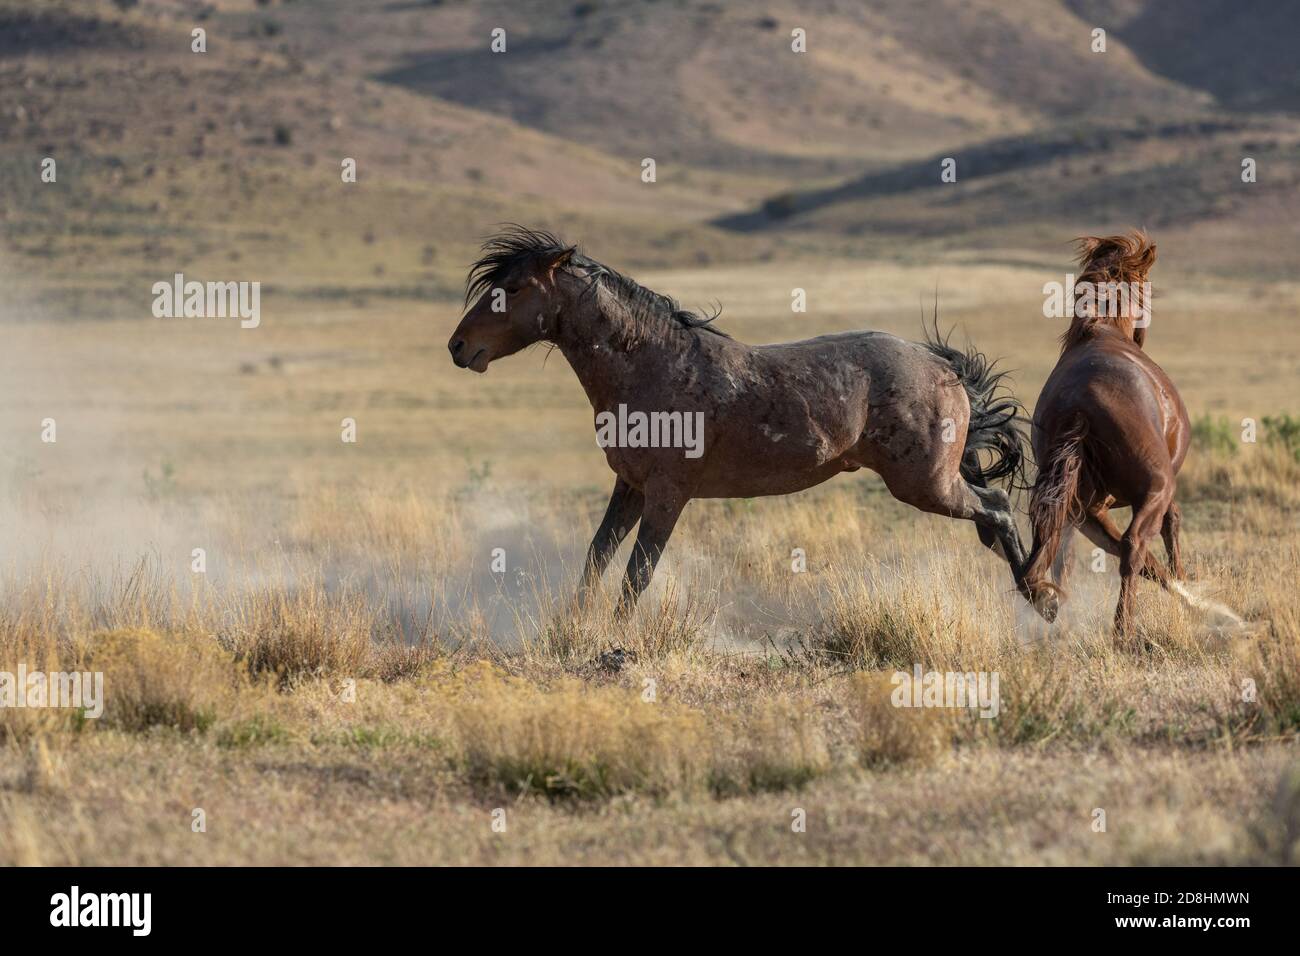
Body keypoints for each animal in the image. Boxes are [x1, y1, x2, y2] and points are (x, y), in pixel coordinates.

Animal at [448, 226, 1035, 616]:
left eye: (515, 288)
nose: (458, 346)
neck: (653, 364)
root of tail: (943, 368)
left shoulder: (669, 493)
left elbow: (636, 576)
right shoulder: (631, 486)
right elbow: (596, 559)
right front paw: (570, 629)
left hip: (925, 485)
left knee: (998, 506)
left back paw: (1039, 600)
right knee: (993, 511)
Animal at [1019, 230, 1193, 634]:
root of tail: (1079, 407)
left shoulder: (1087, 510)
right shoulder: (1161, 489)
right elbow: (1171, 527)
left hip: (1078, 507)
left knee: (1049, 561)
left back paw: (1049, 605)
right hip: (1153, 487)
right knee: (1133, 546)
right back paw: (1123, 631)